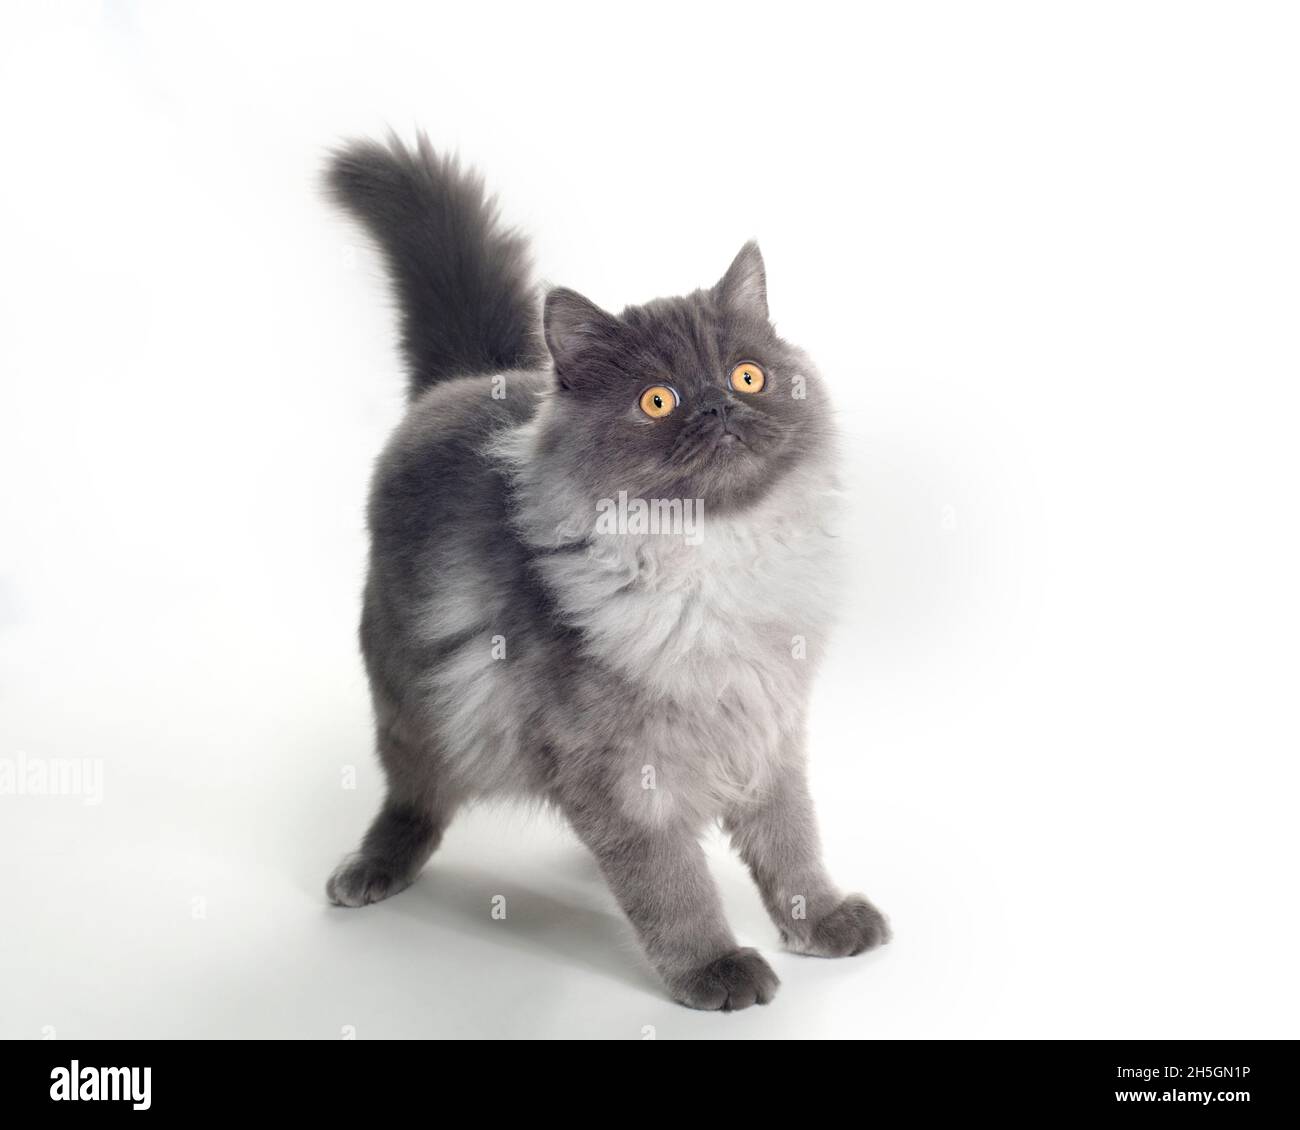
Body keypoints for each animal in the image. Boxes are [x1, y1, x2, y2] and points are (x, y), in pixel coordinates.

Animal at [330, 136, 889, 1009]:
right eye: (658, 401)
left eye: (748, 377)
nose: (718, 408)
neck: (712, 560)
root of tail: (463, 381)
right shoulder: (619, 771)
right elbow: (671, 886)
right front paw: (713, 969)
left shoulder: (769, 726)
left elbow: (790, 845)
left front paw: (823, 922)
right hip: (414, 699)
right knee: (413, 794)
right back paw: (372, 869)